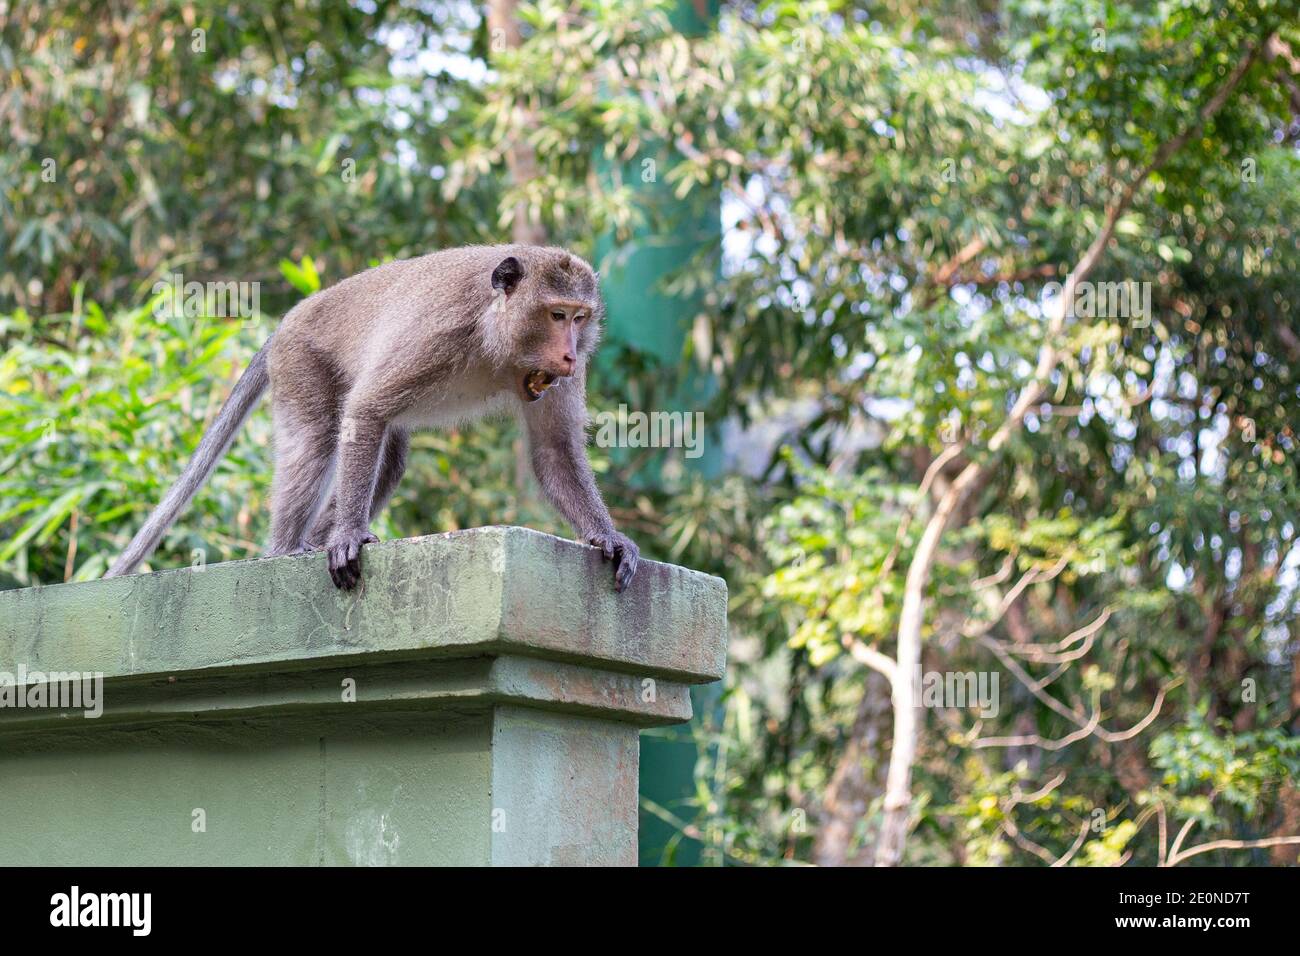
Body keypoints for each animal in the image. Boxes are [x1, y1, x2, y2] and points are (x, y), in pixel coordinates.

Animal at [106, 244, 640, 592]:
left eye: (579, 317)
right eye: (555, 315)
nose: (568, 353)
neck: (495, 327)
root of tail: (287, 321)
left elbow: (554, 449)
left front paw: (608, 537)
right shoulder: (439, 334)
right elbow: (366, 409)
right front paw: (347, 536)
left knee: (388, 457)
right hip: (301, 362)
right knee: (320, 438)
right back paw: (287, 548)